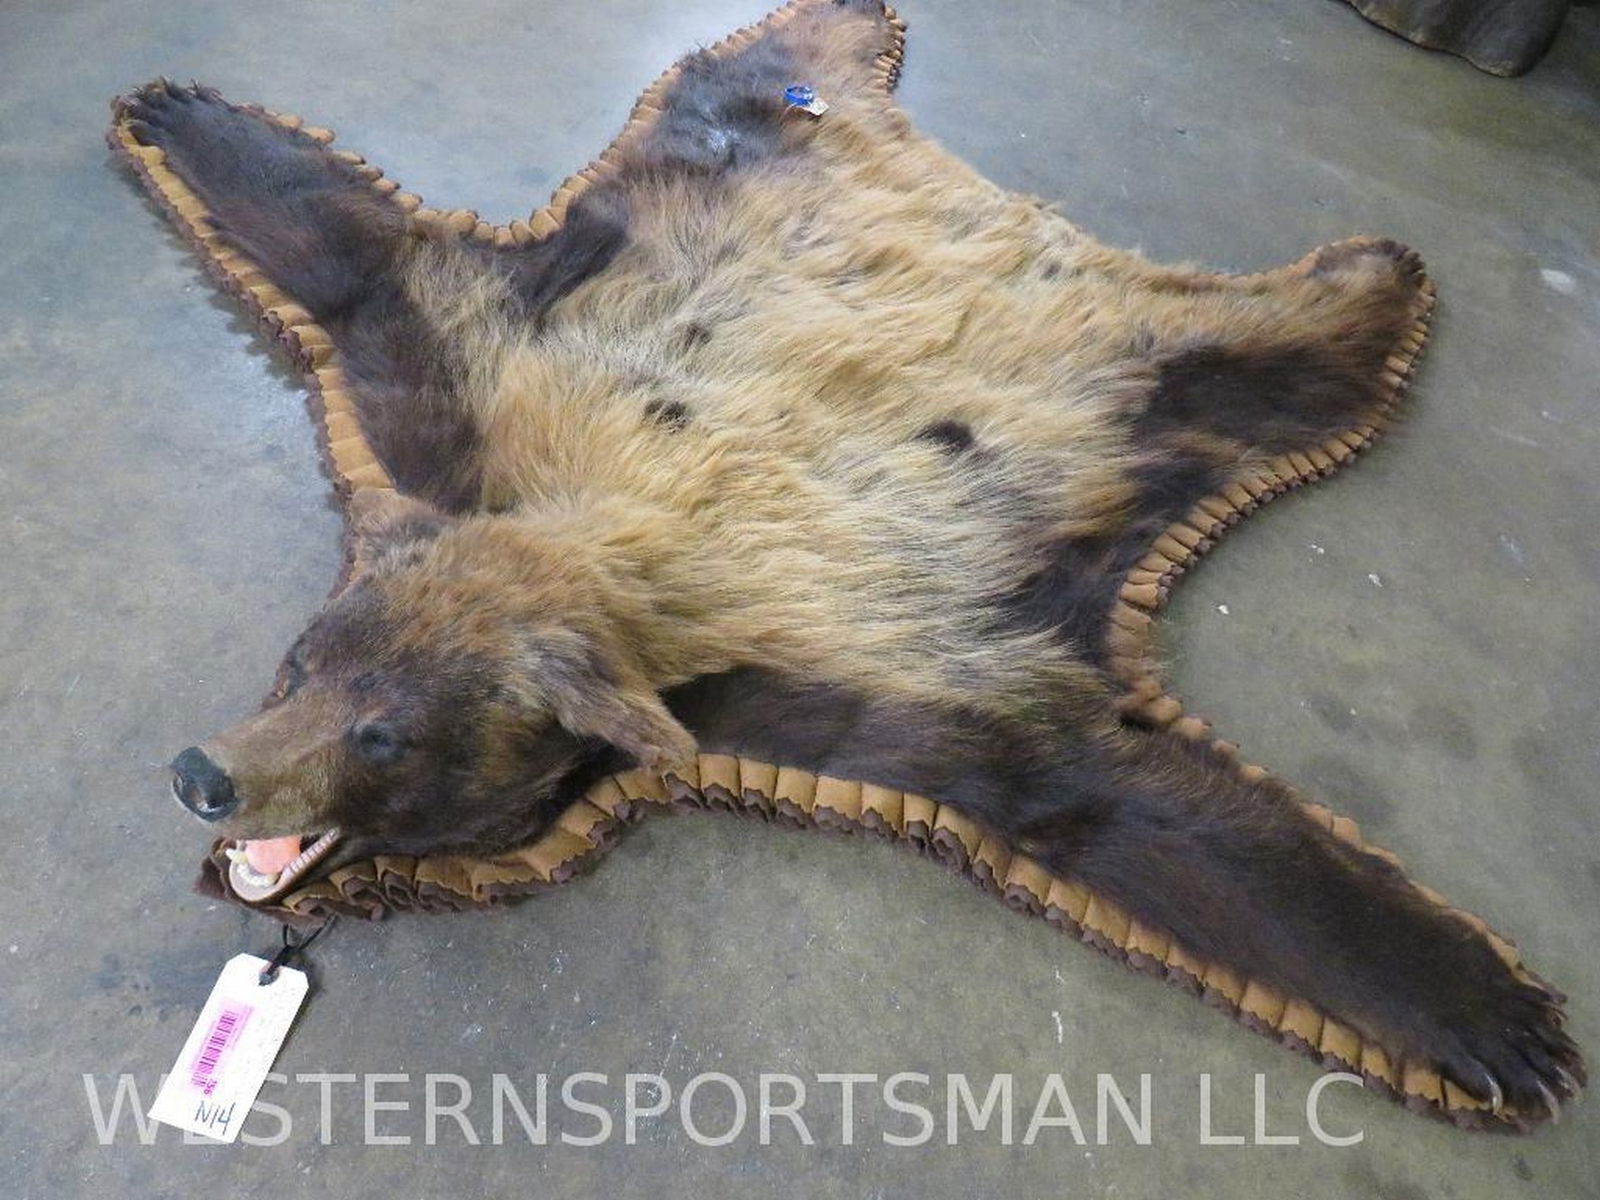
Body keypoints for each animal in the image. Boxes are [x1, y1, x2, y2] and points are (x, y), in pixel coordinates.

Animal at [118, 0, 1581, 1119]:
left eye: (386, 739)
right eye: (300, 658)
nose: (202, 774)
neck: (636, 538)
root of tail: (982, 193)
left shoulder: (882, 673)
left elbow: (1103, 801)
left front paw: (1500, 1021)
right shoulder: (458, 395)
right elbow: (357, 264)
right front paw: (179, 107)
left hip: (1170, 380)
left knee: (1297, 348)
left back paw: (1375, 270)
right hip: (736, 158)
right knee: (737, 76)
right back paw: (840, 32)